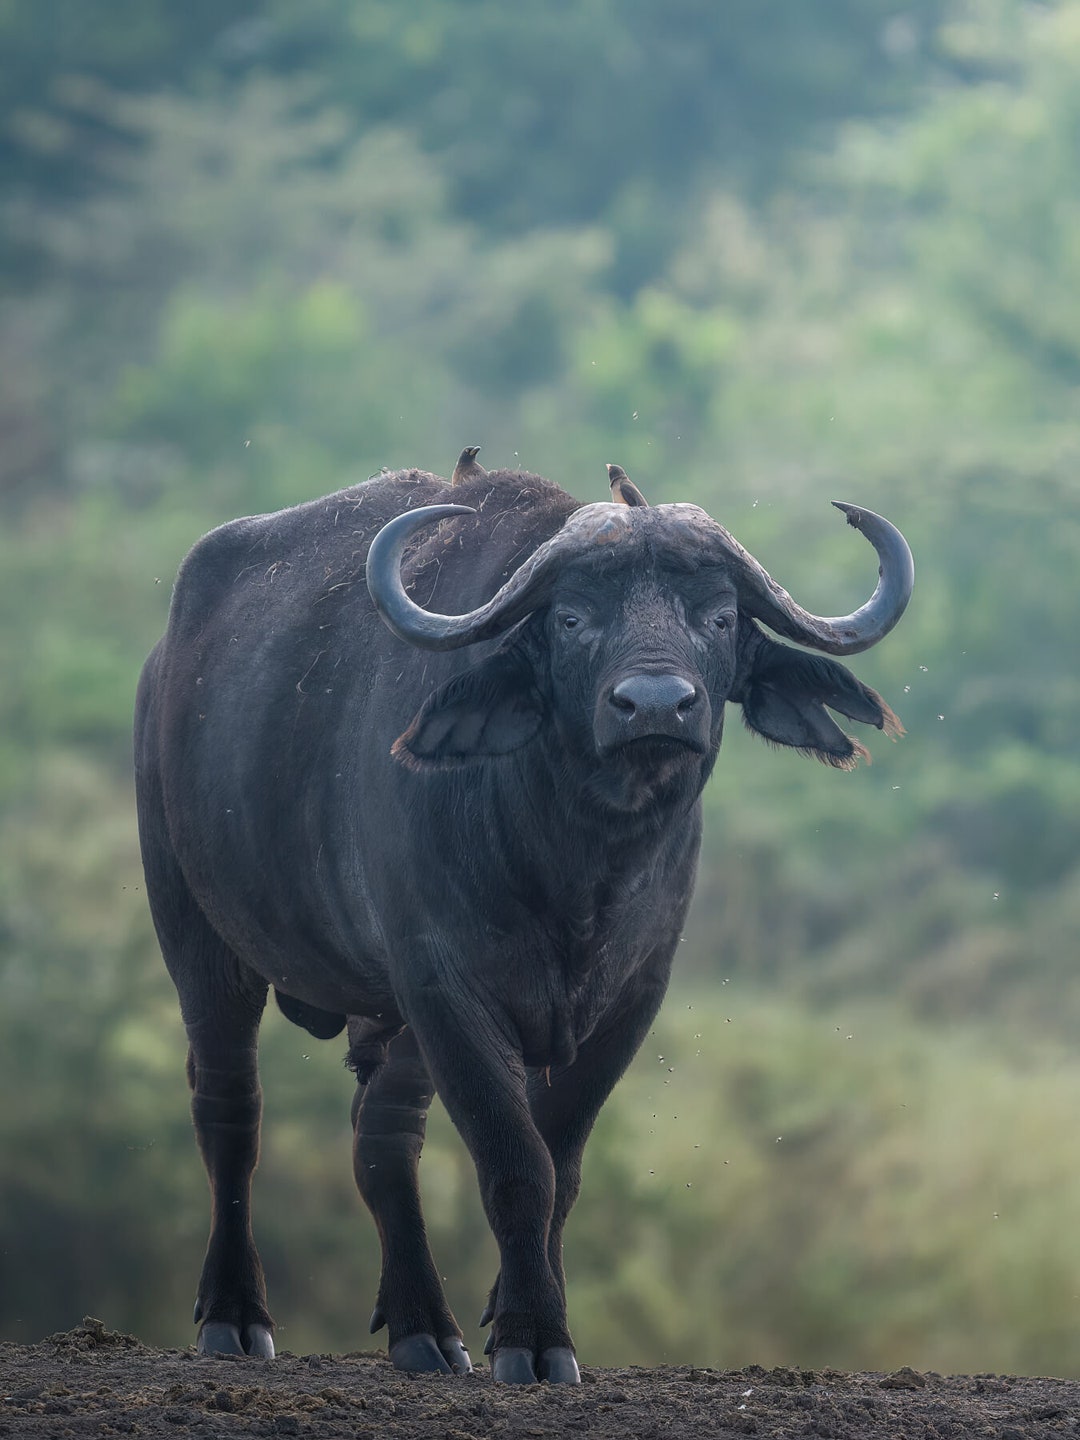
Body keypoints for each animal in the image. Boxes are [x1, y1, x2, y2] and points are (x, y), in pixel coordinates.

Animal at [134, 460, 912, 1383]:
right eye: (572, 617)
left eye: (720, 616)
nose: (657, 705)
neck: (576, 865)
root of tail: (164, 663)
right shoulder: (446, 986)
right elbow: (516, 1166)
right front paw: (532, 1337)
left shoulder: (629, 1000)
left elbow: (561, 1169)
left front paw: (528, 1316)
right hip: (198, 938)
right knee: (230, 1111)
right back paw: (234, 1314)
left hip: (387, 1016)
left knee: (381, 1139)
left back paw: (422, 1329)